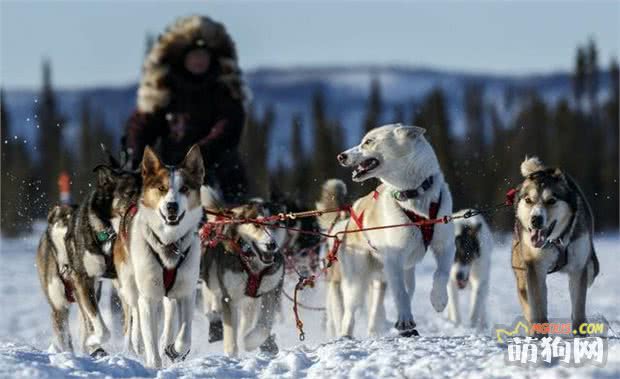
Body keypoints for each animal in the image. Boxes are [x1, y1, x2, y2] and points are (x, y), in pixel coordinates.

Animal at [112, 146, 205, 368]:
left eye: (184, 188)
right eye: (162, 188)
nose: (172, 206)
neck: (169, 243)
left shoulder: (187, 291)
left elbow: (184, 335)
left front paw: (174, 348)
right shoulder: (148, 296)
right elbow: (149, 338)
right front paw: (154, 364)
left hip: (171, 293)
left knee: (169, 314)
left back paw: (166, 341)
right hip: (130, 284)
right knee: (134, 312)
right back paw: (136, 342)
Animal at [201, 205, 284, 356]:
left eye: (275, 224)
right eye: (257, 224)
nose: (271, 245)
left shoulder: (272, 290)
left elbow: (264, 325)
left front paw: (250, 342)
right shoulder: (229, 298)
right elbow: (230, 336)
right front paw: (231, 355)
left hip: (251, 301)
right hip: (211, 277)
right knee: (210, 294)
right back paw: (214, 317)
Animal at [334, 123, 456, 336]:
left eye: (368, 141)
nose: (341, 156)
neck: (413, 194)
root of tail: (350, 221)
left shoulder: (445, 246)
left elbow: (441, 274)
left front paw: (439, 299)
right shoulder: (393, 258)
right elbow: (400, 293)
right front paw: (405, 320)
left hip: (404, 273)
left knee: (405, 291)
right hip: (356, 281)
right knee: (349, 314)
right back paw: (346, 336)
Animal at [512, 156, 600, 334]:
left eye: (551, 201)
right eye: (528, 200)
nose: (535, 219)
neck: (557, 240)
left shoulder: (579, 266)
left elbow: (578, 307)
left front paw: (581, 333)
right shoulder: (534, 266)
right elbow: (538, 305)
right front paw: (539, 334)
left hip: (592, 267)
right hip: (521, 272)